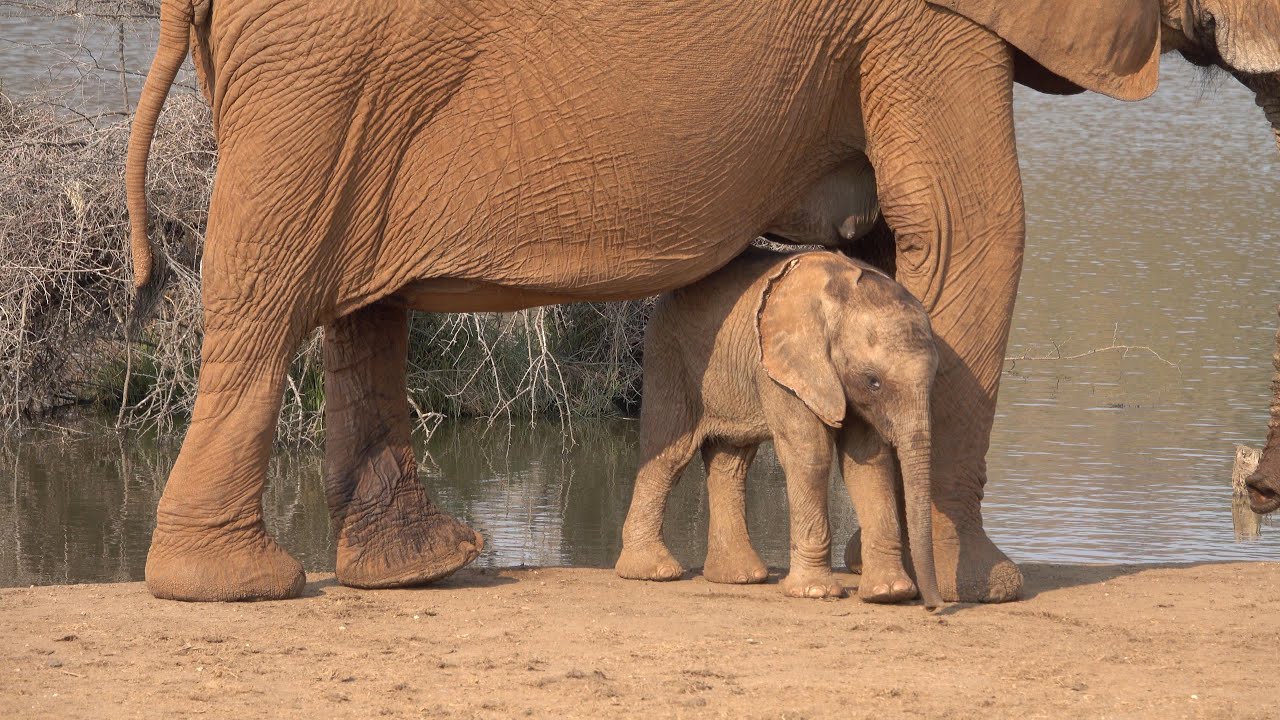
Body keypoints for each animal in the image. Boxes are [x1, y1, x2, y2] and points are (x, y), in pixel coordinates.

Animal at [614, 248, 941, 608]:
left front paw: (889, 593)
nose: (933, 605)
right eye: (874, 381)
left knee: (732, 461)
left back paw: (740, 577)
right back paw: (654, 572)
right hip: (670, 357)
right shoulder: (782, 369)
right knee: (670, 455)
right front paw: (816, 592)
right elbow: (810, 453)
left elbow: (868, 461)